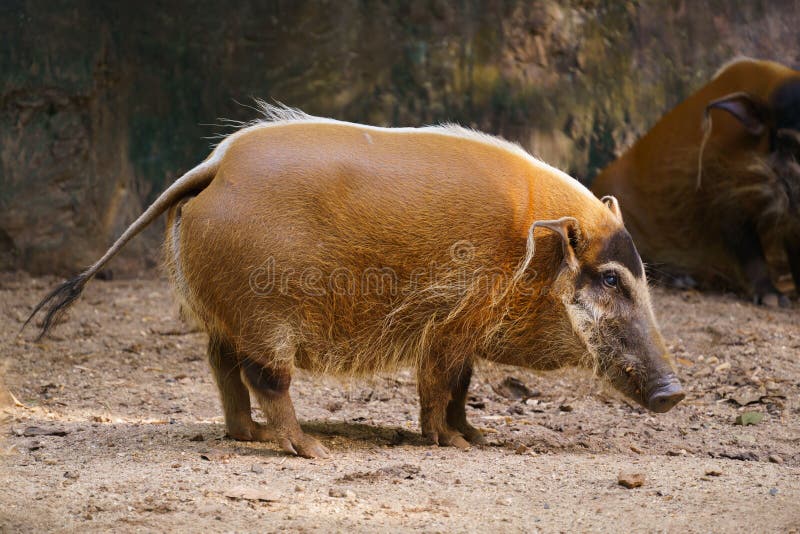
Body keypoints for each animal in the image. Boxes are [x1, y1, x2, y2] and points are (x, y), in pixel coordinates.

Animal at [26, 104, 684, 458]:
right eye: (610, 280)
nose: (674, 393)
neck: (530, 251)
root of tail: (213, 166)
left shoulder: (464, 331)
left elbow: (463, 386)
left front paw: (479, 438)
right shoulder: (451, 323)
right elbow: (440, 385)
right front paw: (455, 445)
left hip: (223, 316)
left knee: (223, 373)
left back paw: (254, 435)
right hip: (264, 315)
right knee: (266, 379)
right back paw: (312, 450)